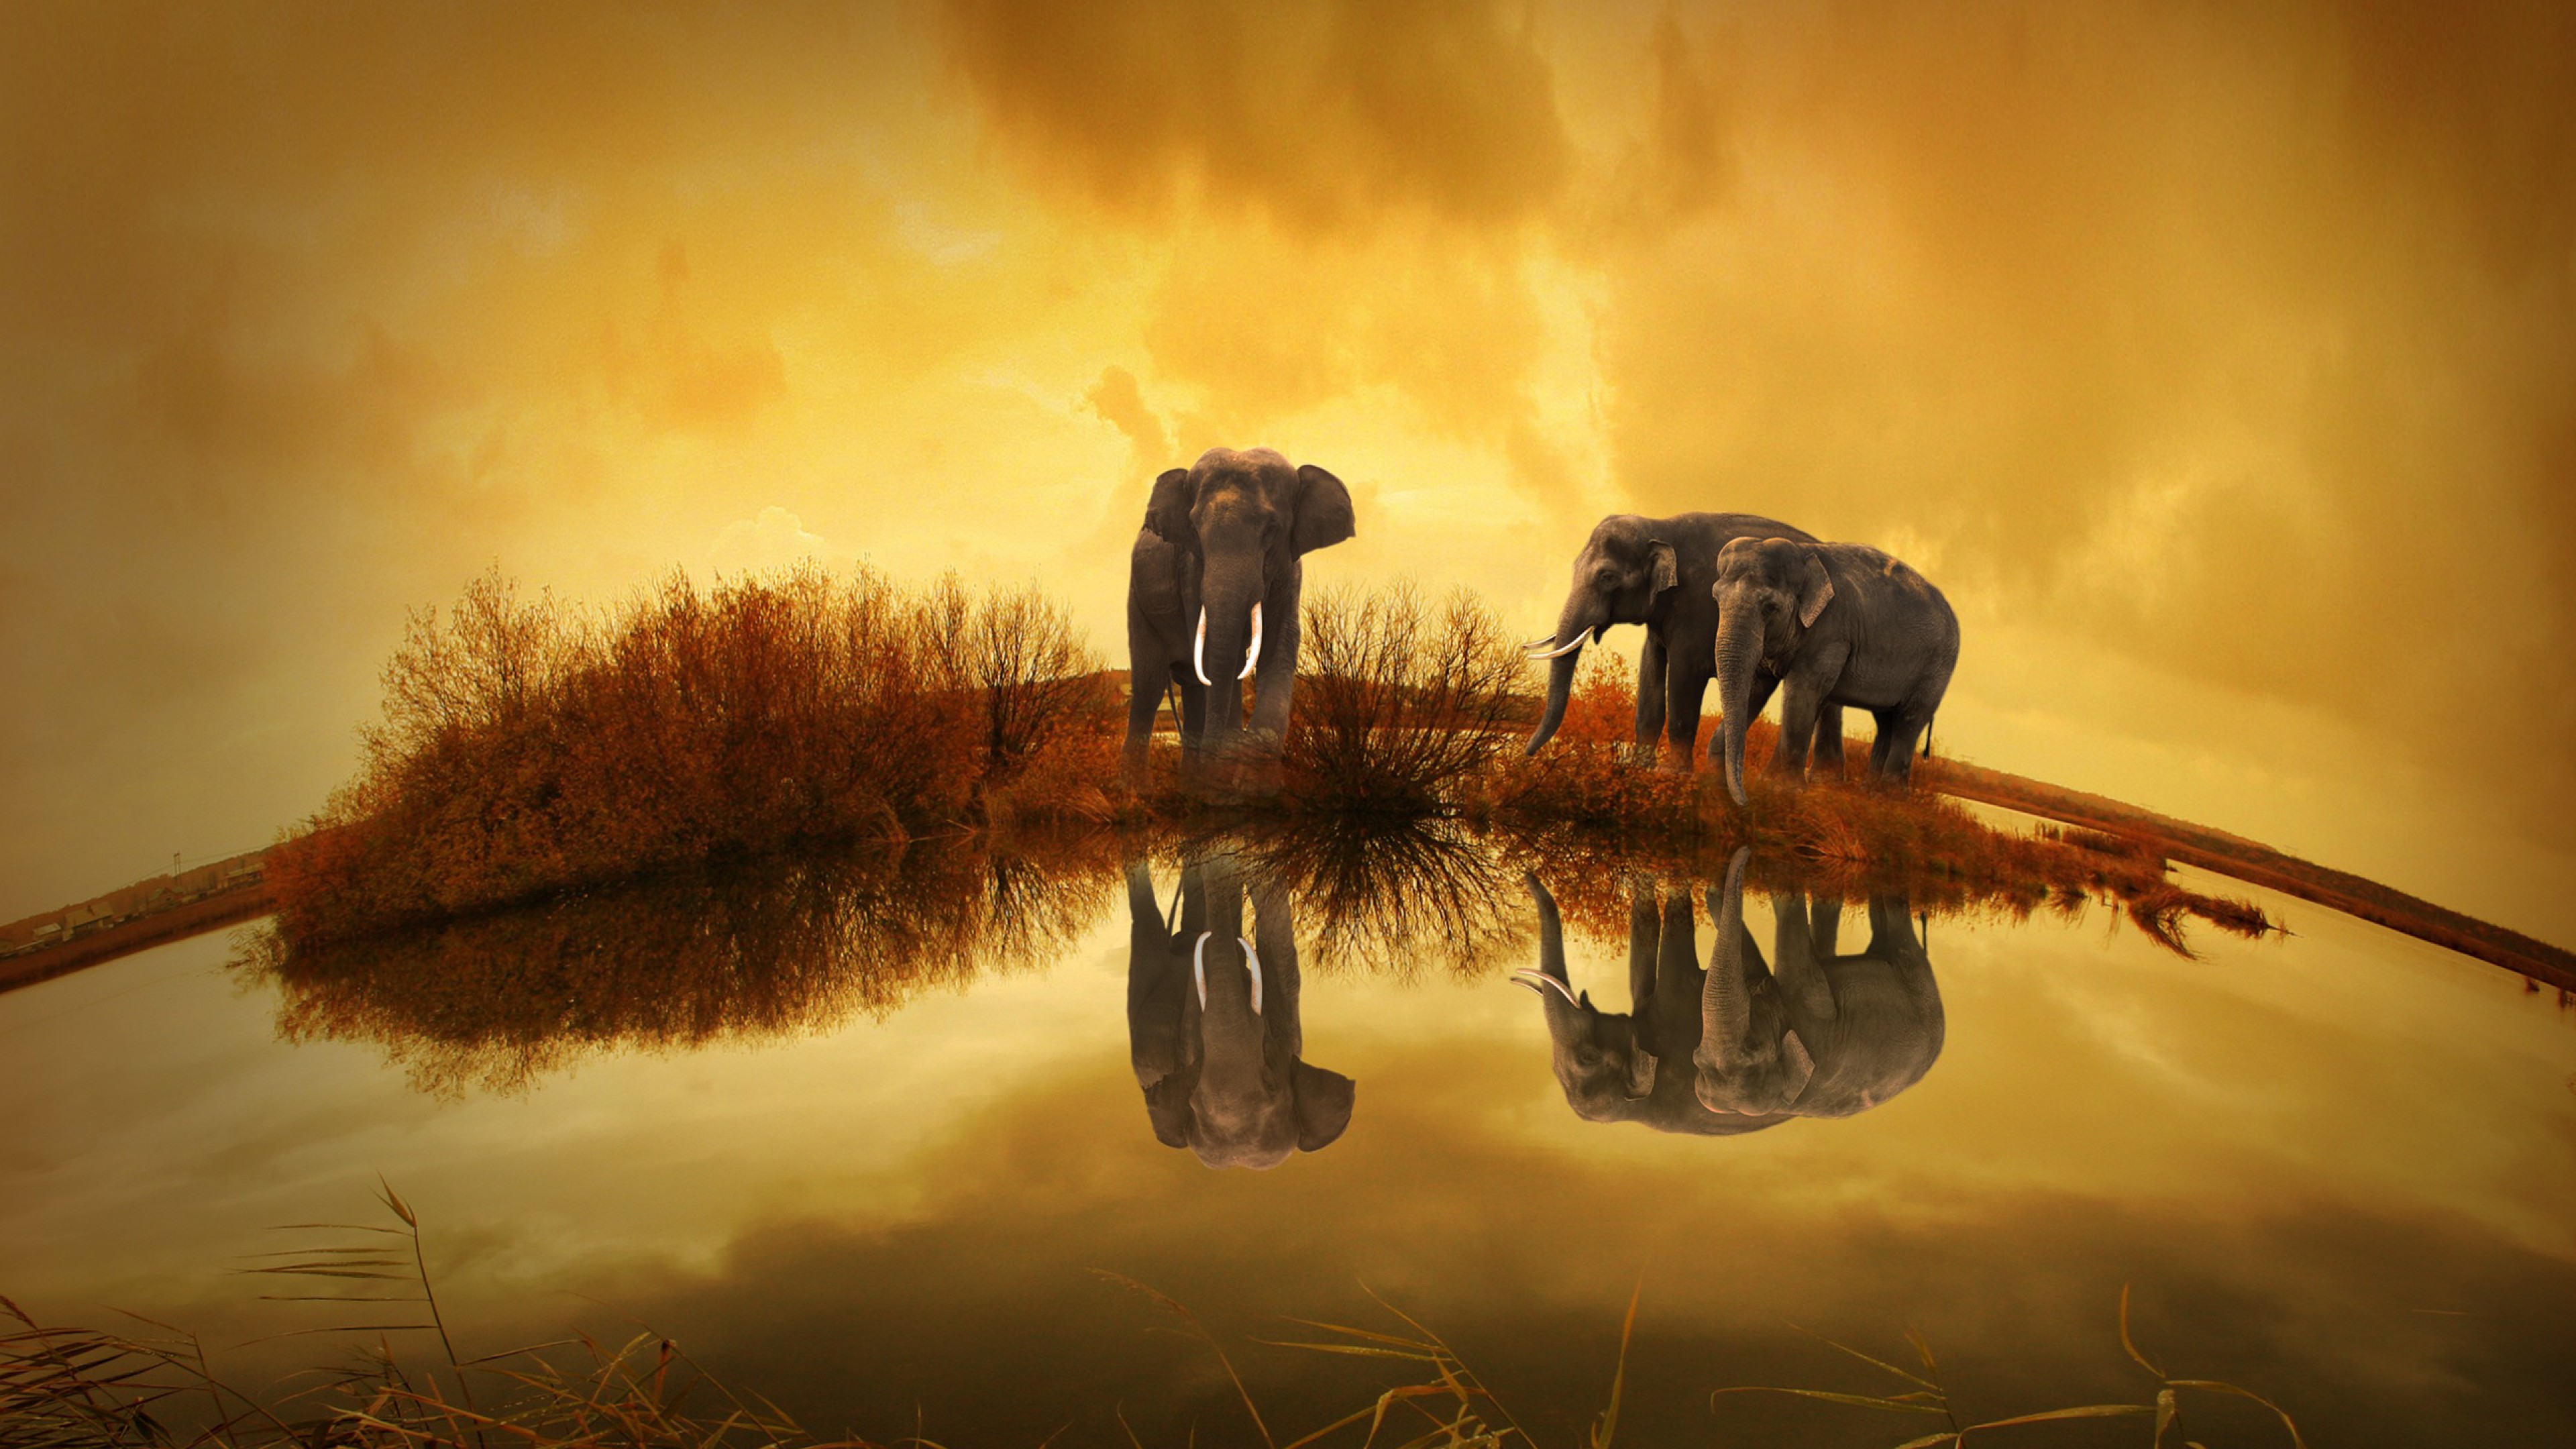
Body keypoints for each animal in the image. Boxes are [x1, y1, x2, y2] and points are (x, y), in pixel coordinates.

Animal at [1124, 448, 1356, 777]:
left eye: (1272, 530)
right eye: (1195, 529)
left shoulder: (1289, 568)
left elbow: (1281, 640)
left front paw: (1246, 753)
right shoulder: (1190, 569)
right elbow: (1215, 650)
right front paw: (1228, 754)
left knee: (1192, 685)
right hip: (1139, 603)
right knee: (1149, 688)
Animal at [1523, 512, 1843, 772]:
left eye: (1607, 576)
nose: (1527, 755)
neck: (1660, 527)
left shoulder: (1696, 608)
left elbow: (1683, 675)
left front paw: (1673, 774)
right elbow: (1650, 671)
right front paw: (1640, 768)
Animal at [1710, 535, 1959, 806]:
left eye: (1770, 607)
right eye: (1716, 599)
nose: (1744, 801)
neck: (1804, 554)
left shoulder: (1831, 631)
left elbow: (1801, 692)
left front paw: (1781, 790)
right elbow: (1757, 689)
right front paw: (1716, 774)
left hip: (1937, 668)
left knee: (1909, 719)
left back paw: (1889, 799)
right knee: (1886, 721)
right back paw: (1869, 793)